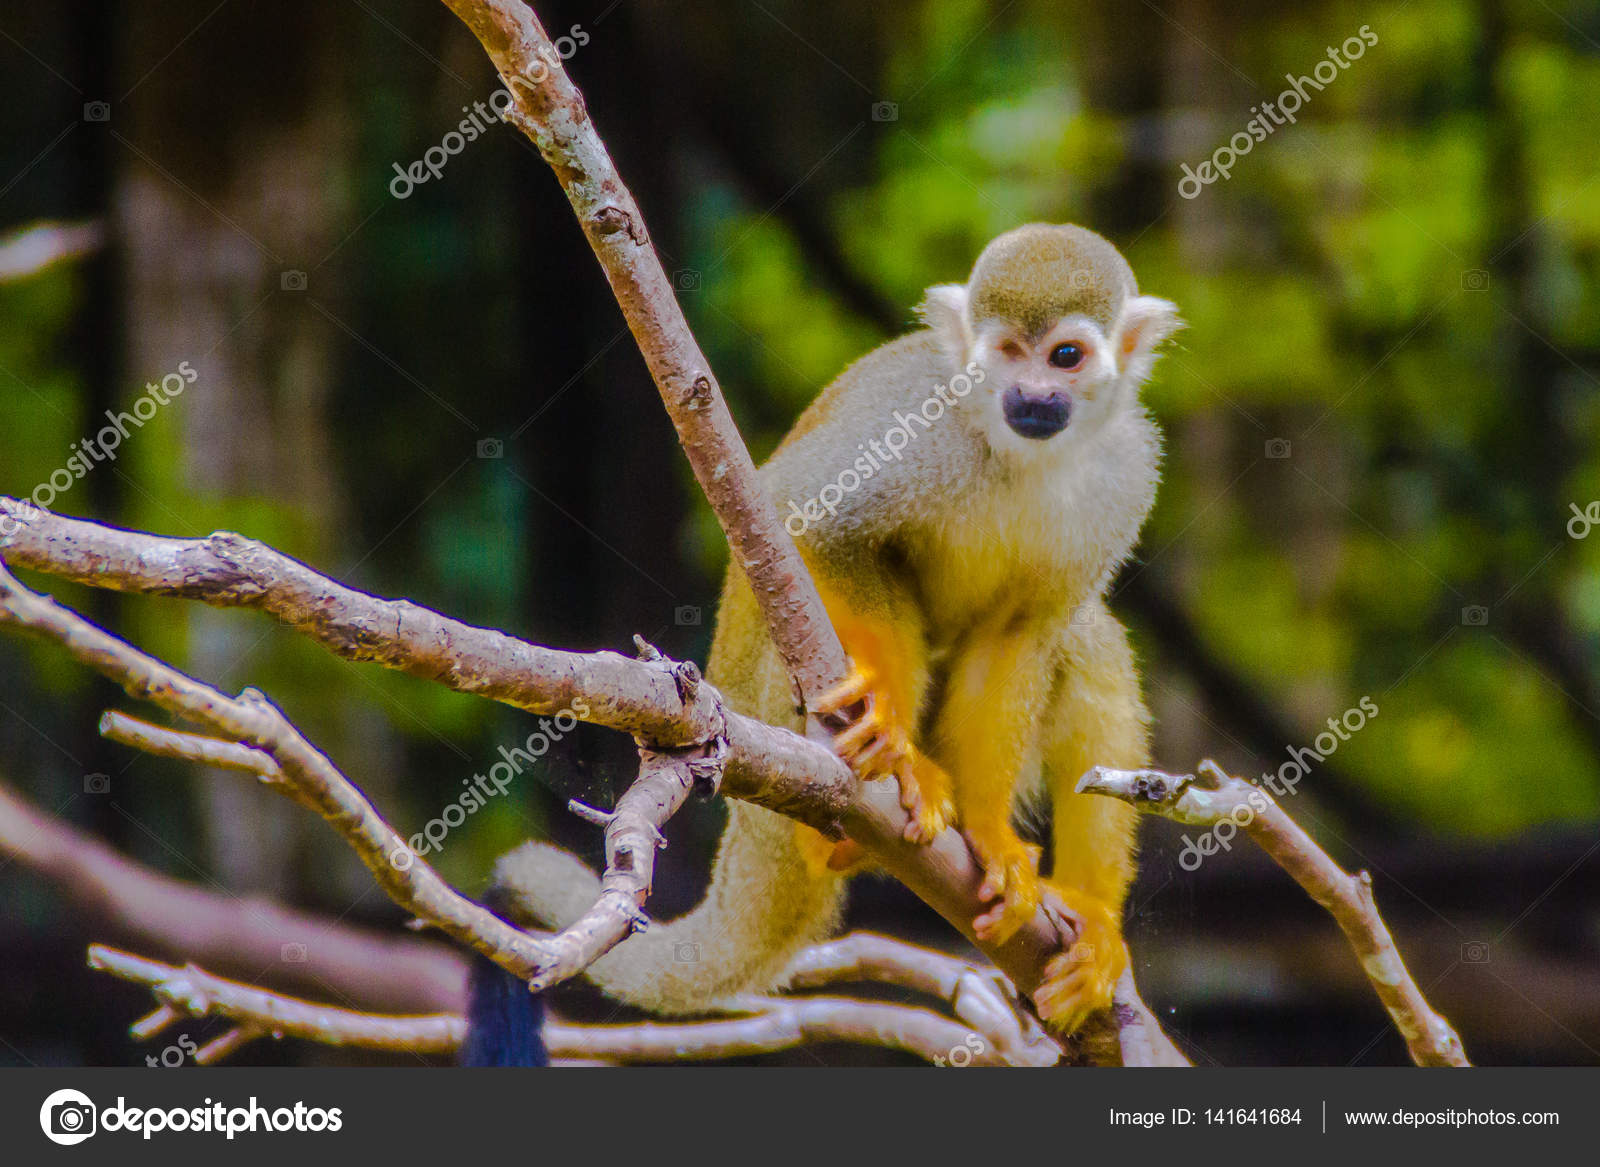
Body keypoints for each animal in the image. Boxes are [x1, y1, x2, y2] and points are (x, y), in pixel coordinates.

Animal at [497, 223, 1180, 1032]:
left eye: (1065, 356)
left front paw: (988, 835)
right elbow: (808, 516)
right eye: (1008, 353)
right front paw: (888, 725)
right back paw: (840, 828)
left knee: (1085, 641)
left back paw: (1090, 920)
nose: (1032, 396)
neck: (1019, 450)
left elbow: (1023, 635)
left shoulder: (1128, 472)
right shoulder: (916, 422)